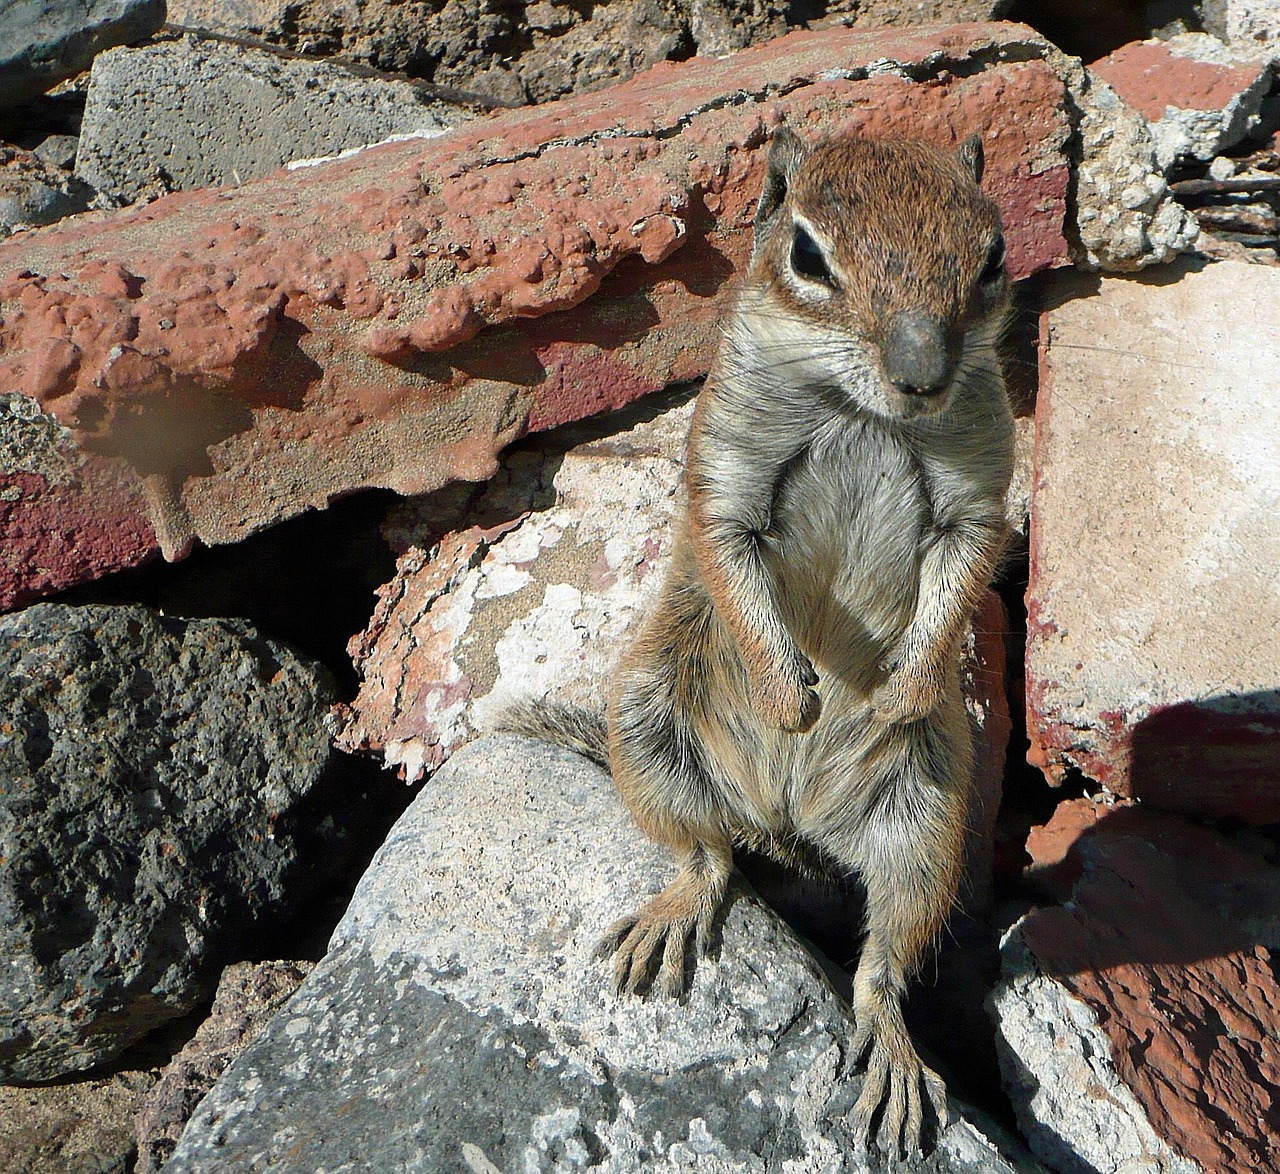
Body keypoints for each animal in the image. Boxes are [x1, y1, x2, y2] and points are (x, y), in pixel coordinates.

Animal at [503, 126, 1014, 1156]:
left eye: (993, 257)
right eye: (808, 257)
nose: (923, 376)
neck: (862, 413)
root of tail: (788, 825)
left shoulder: (982, 488)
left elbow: (967, 569)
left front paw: (900, 690)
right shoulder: (727, 467)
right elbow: (729, 555)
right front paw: (789, 697)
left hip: (927, 827)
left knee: (883, 965)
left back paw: (893, 1055)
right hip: (650, 722)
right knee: (705, 855)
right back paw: (674, 913)